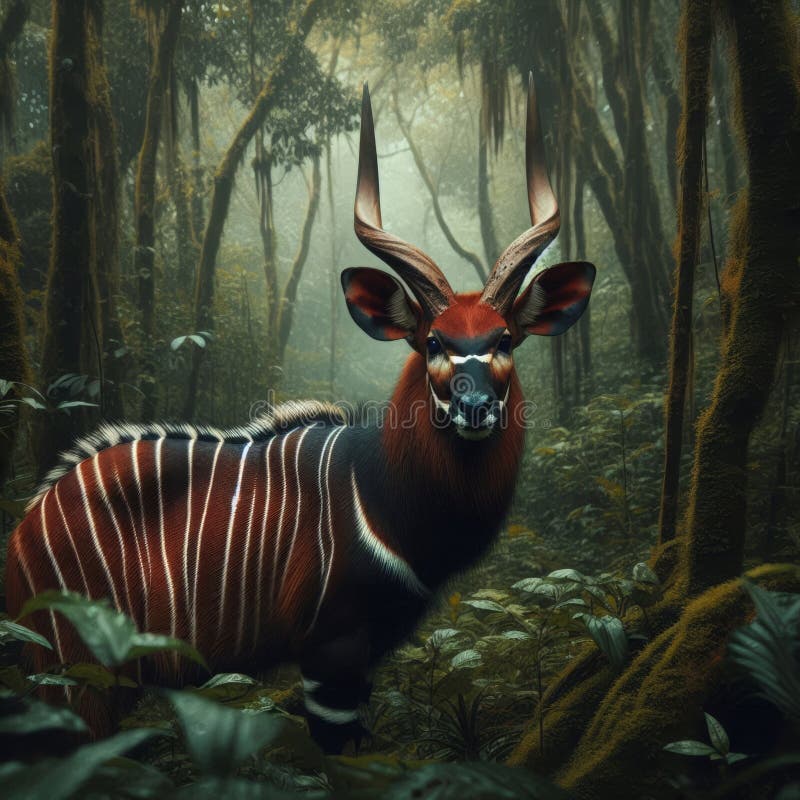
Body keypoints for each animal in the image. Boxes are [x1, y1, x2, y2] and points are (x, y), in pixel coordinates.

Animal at [6, 77, 595, 752]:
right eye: (433, 342)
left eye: (503, 340)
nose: (475, 409)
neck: (383, 491)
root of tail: (22, 531)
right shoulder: (330, 653)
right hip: (76, 673)